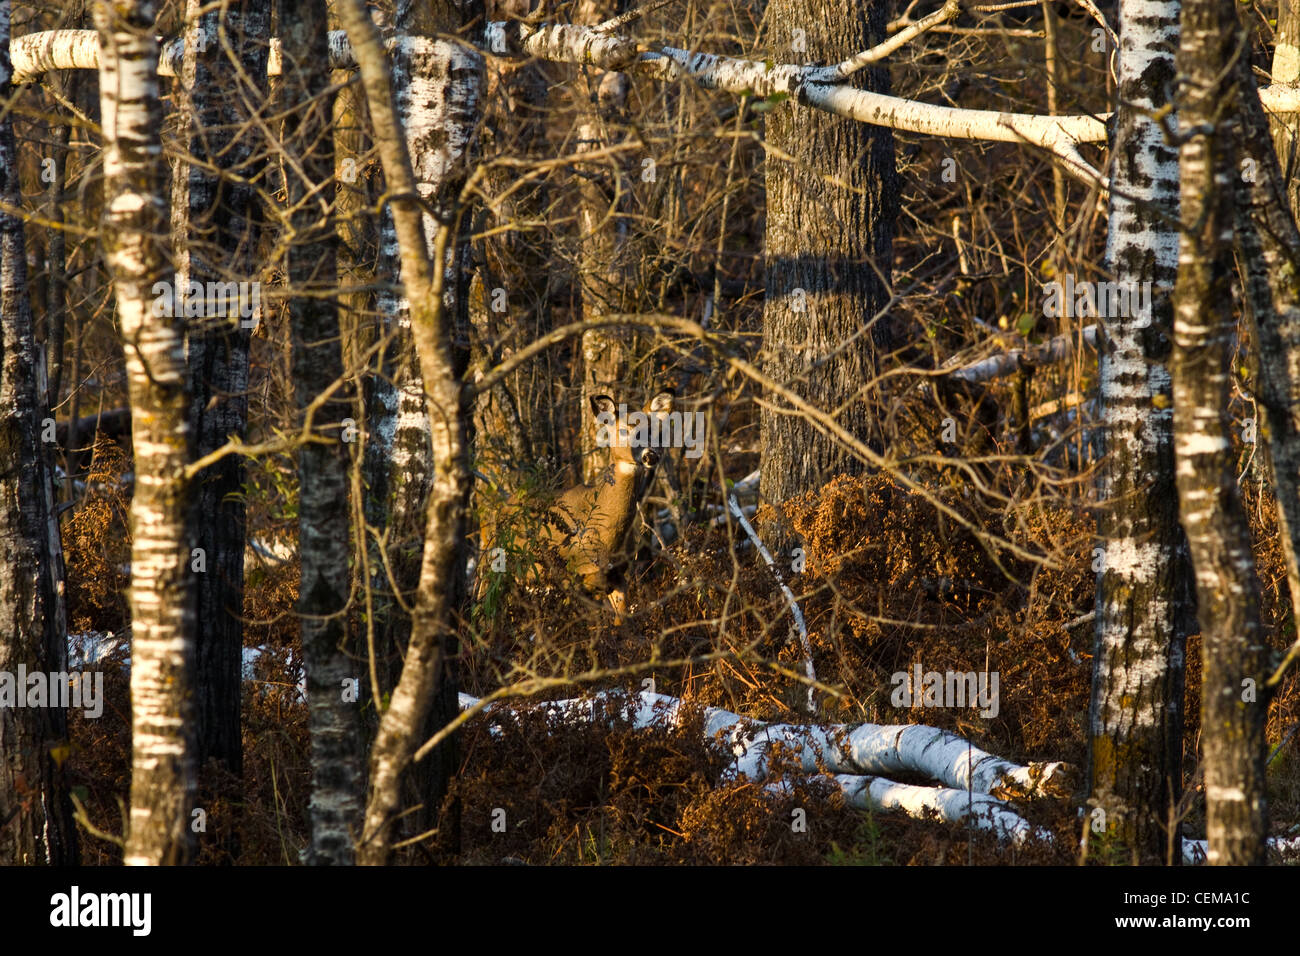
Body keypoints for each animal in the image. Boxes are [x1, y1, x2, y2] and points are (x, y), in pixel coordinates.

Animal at [476, 390, 674, 619]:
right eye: (624, 430)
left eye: (655, 431)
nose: (650, 455)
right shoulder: (571, 577)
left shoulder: (618, 577)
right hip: (504, 566)